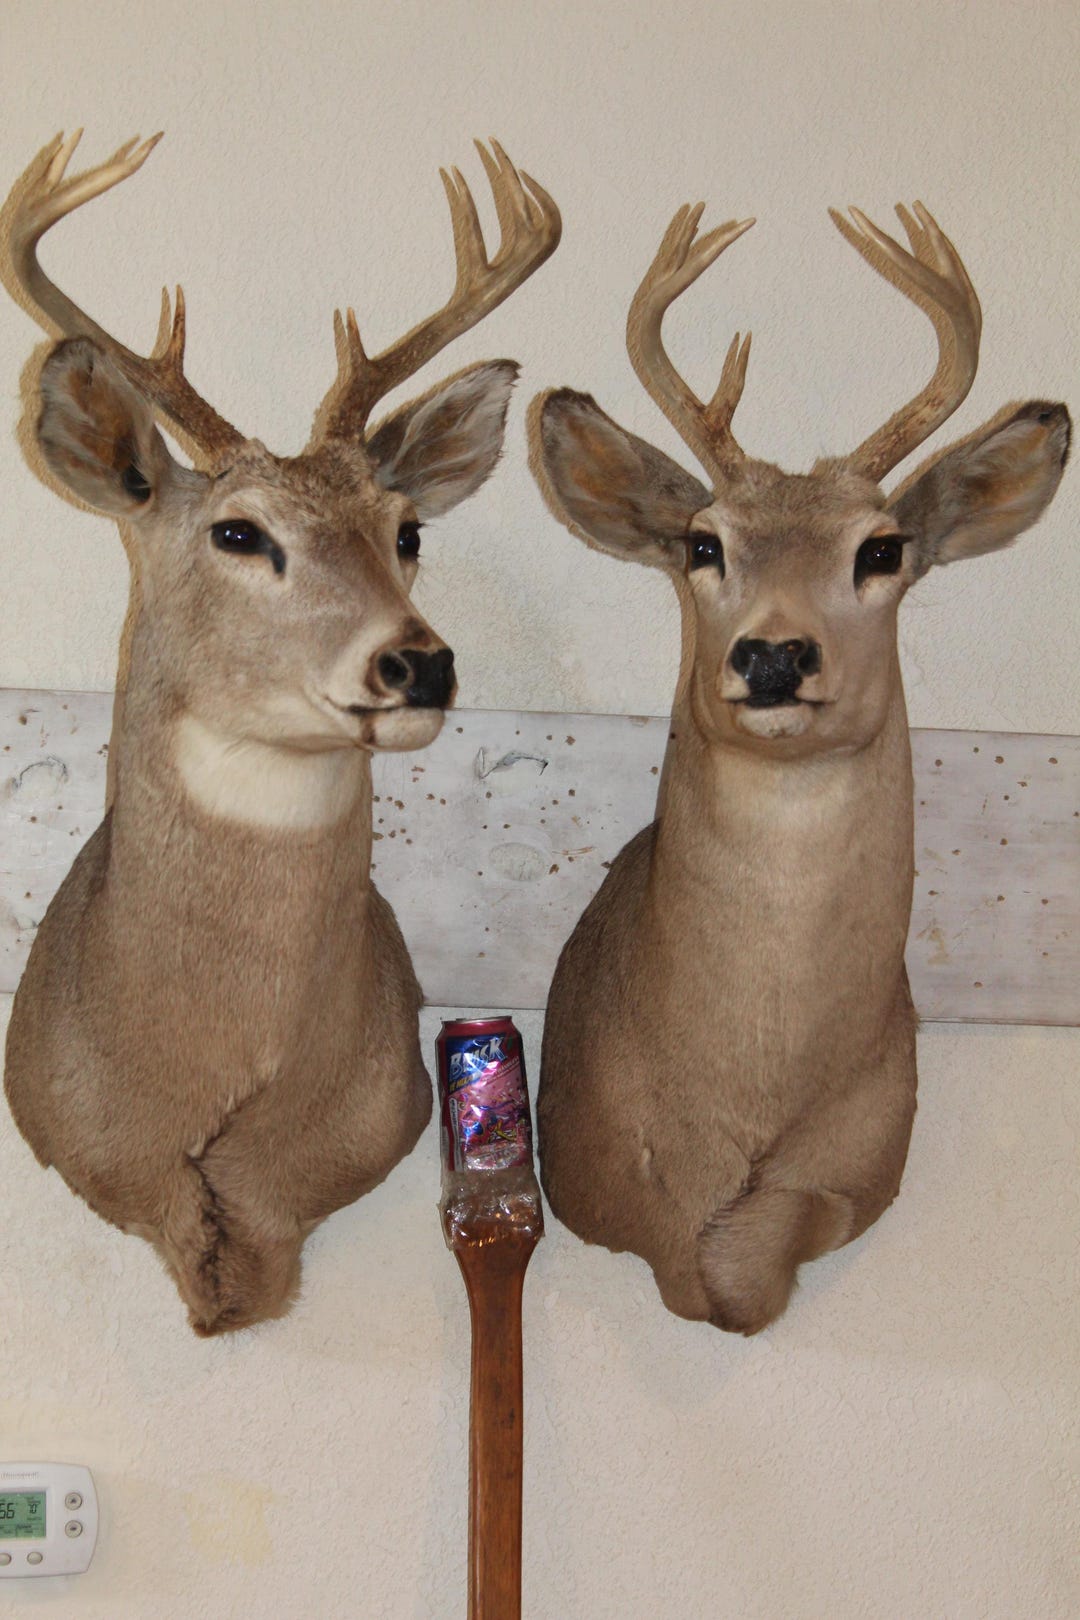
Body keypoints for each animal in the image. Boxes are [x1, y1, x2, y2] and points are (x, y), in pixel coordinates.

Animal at [531, 199, 1069, 1334]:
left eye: (883, 548)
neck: (752, 1089)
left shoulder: (859, 1165)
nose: (774, 654)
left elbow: (766, 1237)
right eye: (702, 543)